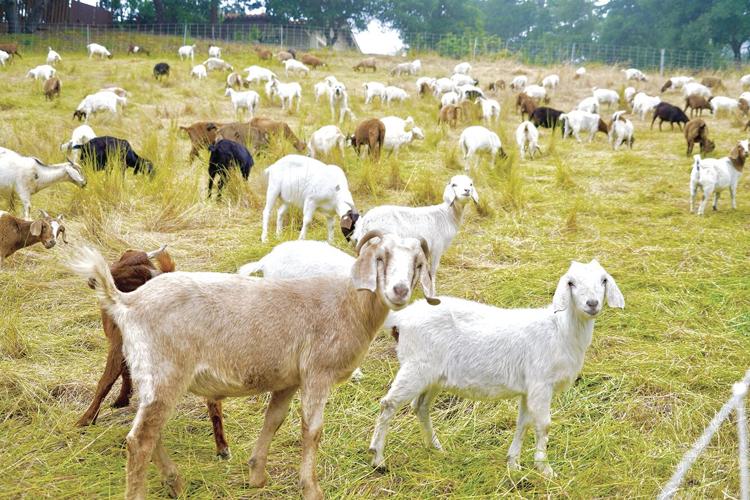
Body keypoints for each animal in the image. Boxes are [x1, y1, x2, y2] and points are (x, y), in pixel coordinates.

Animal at [369, 260, 624, 477]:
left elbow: (523, 423)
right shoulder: (541, 383)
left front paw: (514, 463)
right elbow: (544, 425)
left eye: (603, 280)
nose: (592, 304)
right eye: (571, 283)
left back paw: (435, 447)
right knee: (388, 404)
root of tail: (401, 320)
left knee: (420, 406)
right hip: (416, 367)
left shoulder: (529, 389)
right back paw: (378, 458)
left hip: (433, 374)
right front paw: (545, 469)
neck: (560, 330)